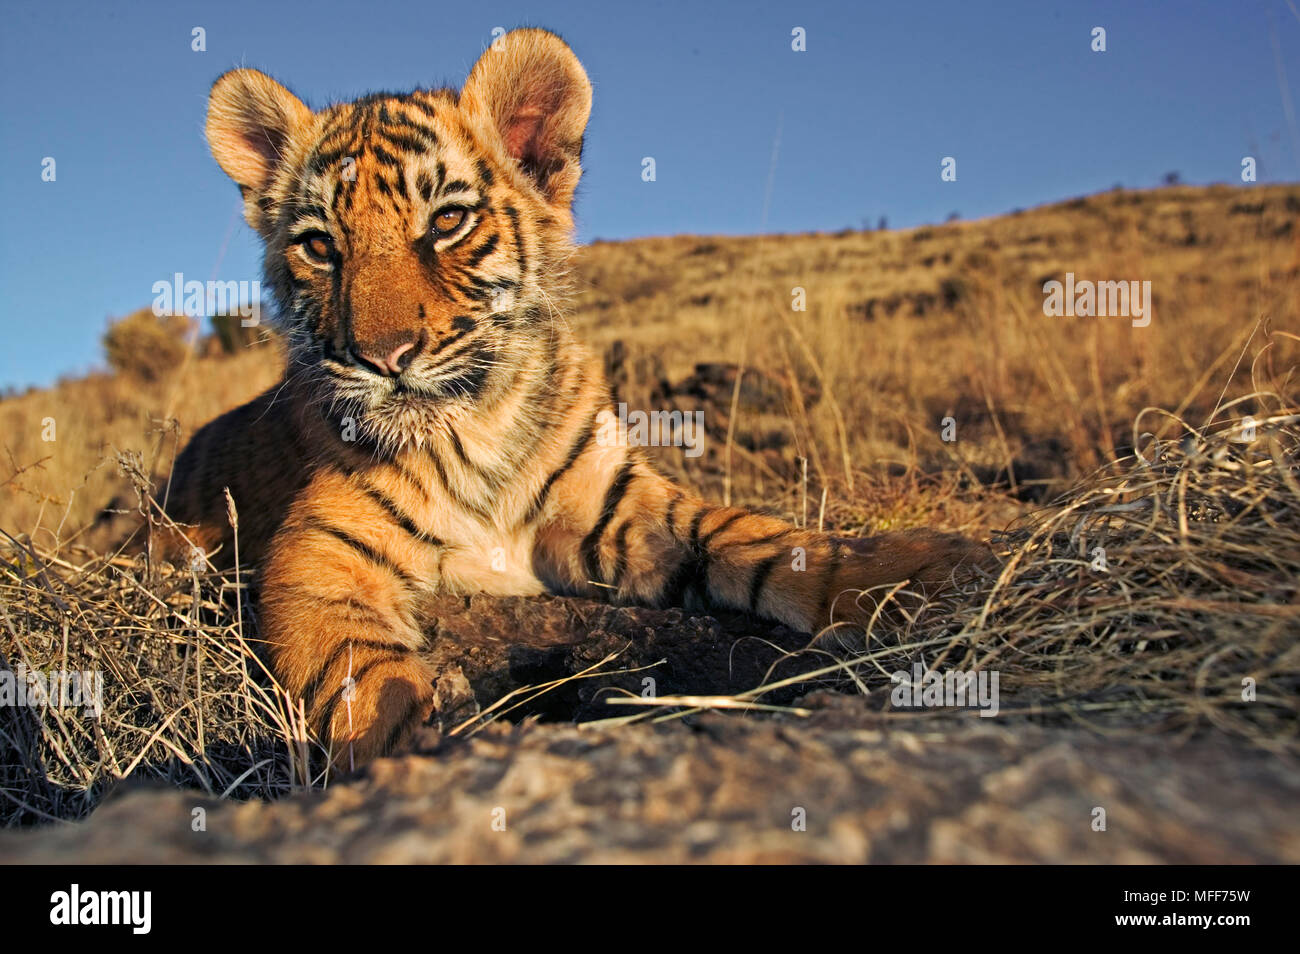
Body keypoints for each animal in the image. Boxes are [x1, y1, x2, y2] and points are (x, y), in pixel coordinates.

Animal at [162, 28, 990, 769]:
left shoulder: (617, 508)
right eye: (319, 247)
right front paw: (407, 745)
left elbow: (756, 537)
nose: (384, 355)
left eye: (447, 221)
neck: (473, 427)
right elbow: (354, 668)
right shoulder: (319, 554)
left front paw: (920, 570)